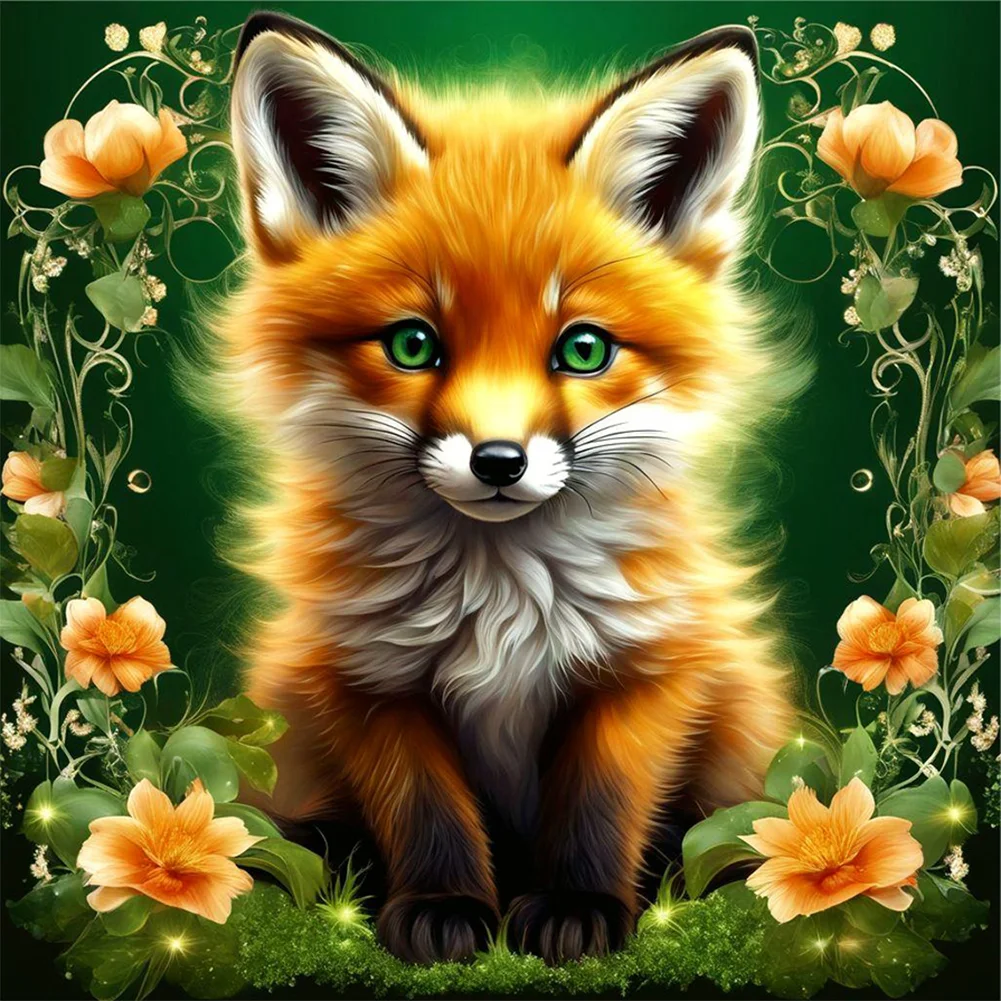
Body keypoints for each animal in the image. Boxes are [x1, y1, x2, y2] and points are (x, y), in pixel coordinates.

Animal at [210, 10, 797, 966]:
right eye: (412, 344)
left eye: (583, 348)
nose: (497, 461)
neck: (501, 598)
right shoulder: (363, 675)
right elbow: (424, 807)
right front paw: (444, 906)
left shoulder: (653, 662)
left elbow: (600, 798)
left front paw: (577, 904)